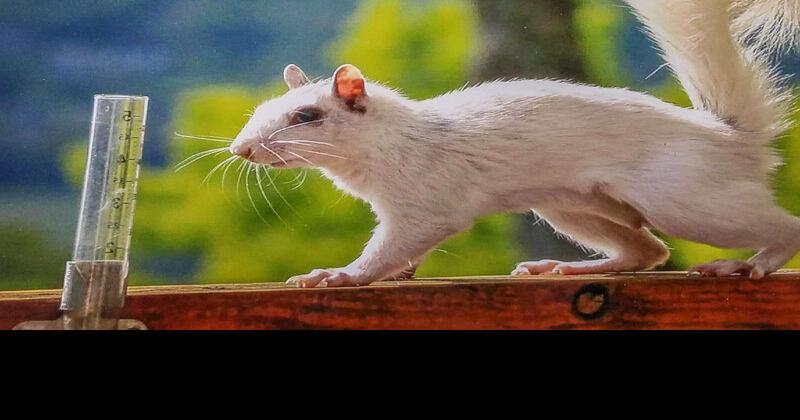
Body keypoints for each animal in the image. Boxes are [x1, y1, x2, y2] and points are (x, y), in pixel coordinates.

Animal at [229, 0, 800, 288]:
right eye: (260, 110)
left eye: (307, 116)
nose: (241, 150)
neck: (389, 140)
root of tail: (731, 136)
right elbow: (404, 254)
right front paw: (397, 274)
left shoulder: (425, 202)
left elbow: (394, 245)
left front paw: (342, 275)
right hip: (570, 207)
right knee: (646, 250)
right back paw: (568, 267)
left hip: (688, 200)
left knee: (780, 227)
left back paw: (746, 264)